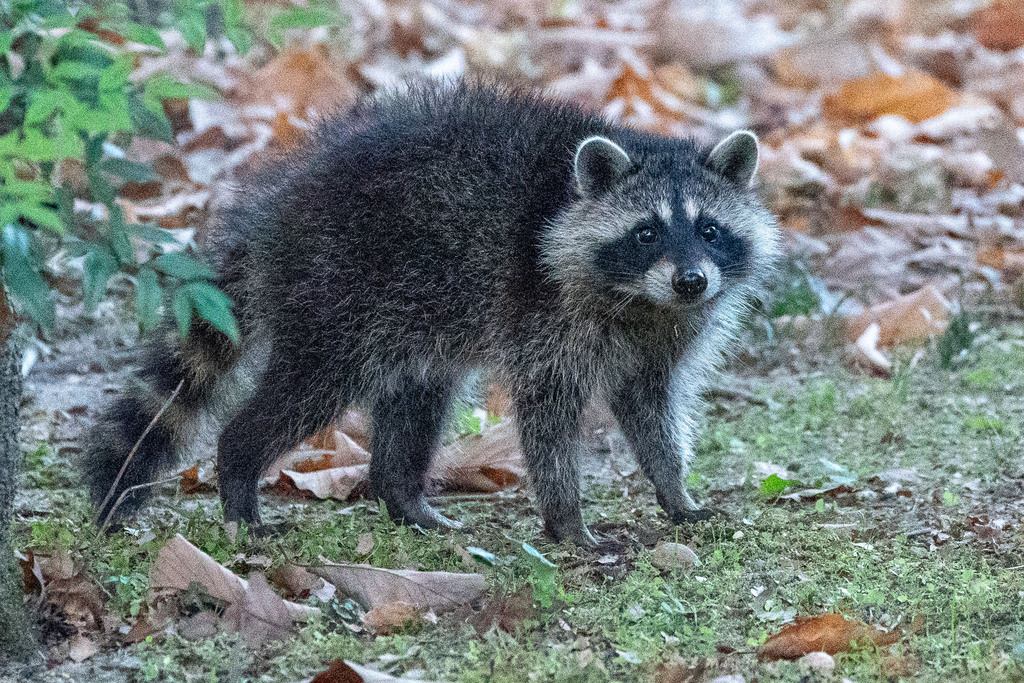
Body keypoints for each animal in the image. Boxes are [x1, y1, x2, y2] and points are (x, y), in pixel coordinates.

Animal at [82, 82, 780, 546]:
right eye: (646, 233)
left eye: (710, 230)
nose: (691, 280)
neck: (643, 301)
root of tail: (277, 207)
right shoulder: (546, 315)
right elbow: (547, 421)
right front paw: (568, 518)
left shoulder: (662, 338)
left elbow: (649, 408)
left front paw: (675, 491)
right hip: (335, 291)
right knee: (309, 388)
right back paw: (241, 478)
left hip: (411, 315)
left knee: (417, 398)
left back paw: (402, 497)